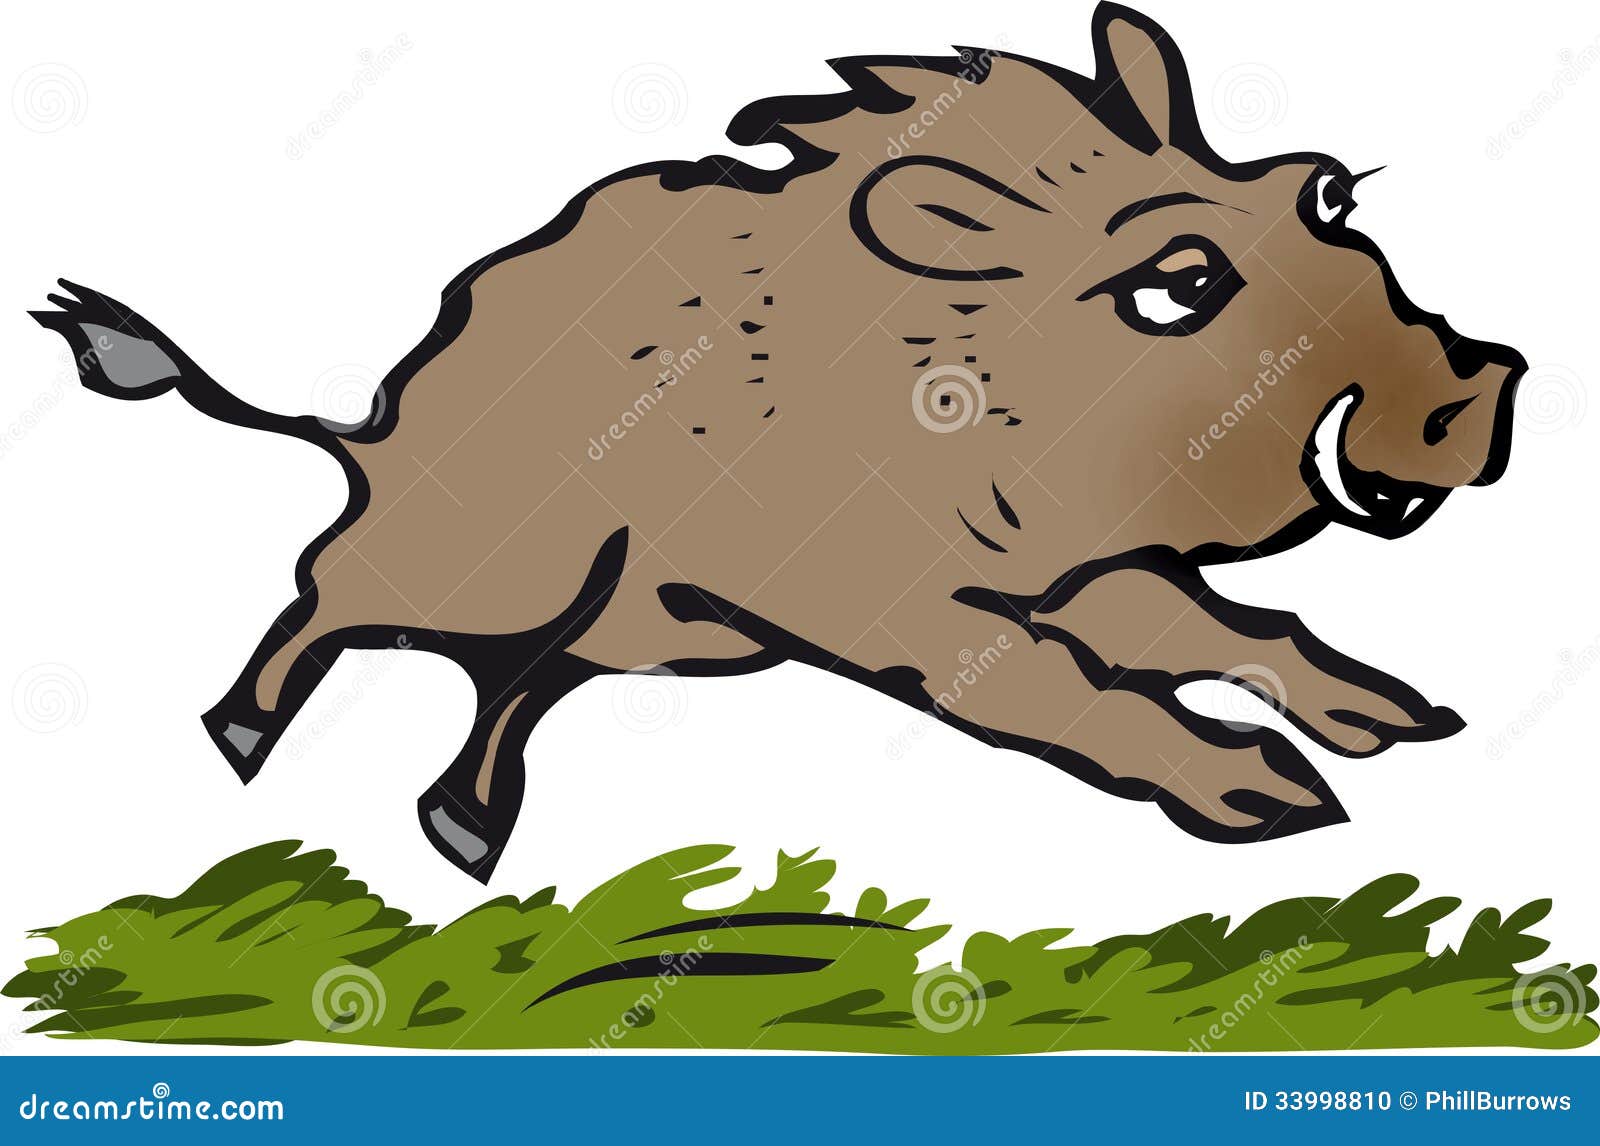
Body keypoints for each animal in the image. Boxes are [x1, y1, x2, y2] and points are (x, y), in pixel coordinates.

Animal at [34, 3, 1525, 880]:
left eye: (1325, 196)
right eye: (1179, 283)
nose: (1477, 394)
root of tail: (380, 420)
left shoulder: (1085, 573)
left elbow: (1227, 628)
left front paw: (1402, 722)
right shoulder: (895, 608)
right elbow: (1065, 688)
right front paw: (1277, 803)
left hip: (656, 624)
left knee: (516, 679)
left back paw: (464, 835)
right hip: (496, 567)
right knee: (331, 593)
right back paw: (243, 744)